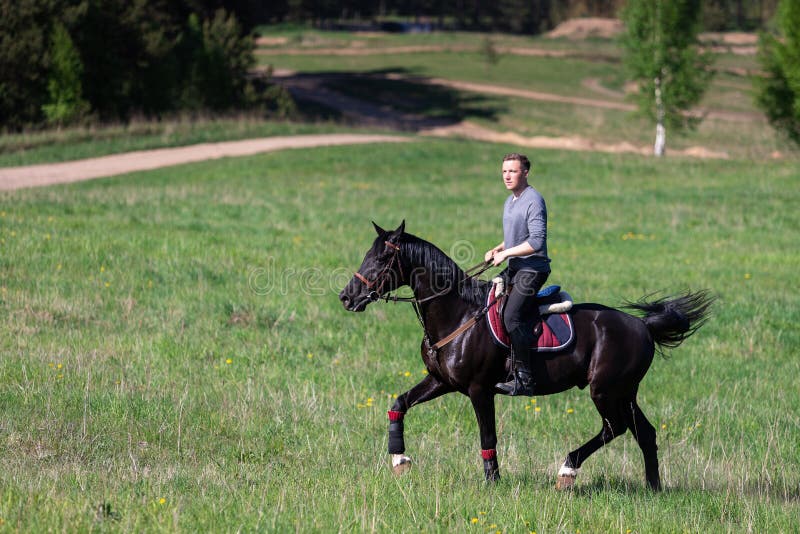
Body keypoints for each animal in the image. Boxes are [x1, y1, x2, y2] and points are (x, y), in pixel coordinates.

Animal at [338, 221, 713, 490]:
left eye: (382, 259)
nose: (346, 296)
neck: (458, 314)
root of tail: (642, 326)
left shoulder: (479, 389)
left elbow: (487, 435)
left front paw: (493, 481)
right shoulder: (440, 381)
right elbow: (399, 403)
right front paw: (399, 460)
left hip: (605, 390)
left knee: (615, 427)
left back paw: (567, 471)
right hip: (625, 392)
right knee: (644, 433)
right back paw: (653, 488)